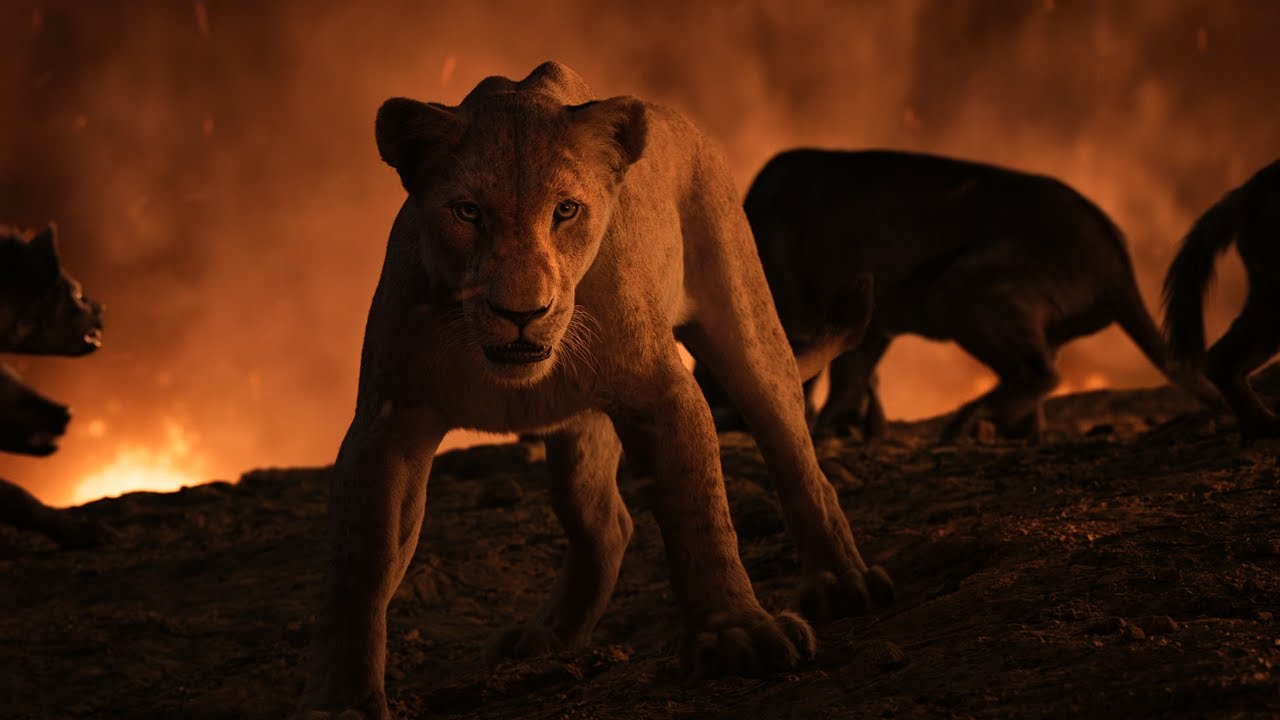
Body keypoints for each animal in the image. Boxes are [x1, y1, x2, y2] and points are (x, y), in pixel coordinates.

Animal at [298, 63, 895, 719]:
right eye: (467, 211)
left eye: (566, 210)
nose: (521, 313)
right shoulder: (389, 425)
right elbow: (361, 567)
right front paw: (346, 701)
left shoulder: (661, 392)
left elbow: (701, 514)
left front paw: (736, 631)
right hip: (578, 432)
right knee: (606, 523)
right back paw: (547, 635)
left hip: (748, 326)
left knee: (795, 456)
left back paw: (842, 582)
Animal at [698, 148, 1219, 442]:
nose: (717, 410)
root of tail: (1117, 263)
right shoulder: (871, 319)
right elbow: (851, 370)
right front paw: (839, 428)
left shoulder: (802, 308)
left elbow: (814, 369)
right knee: (1038, 375)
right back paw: (1006, 432)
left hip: (958, 289)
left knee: (1041, 371)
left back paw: (967, 425)